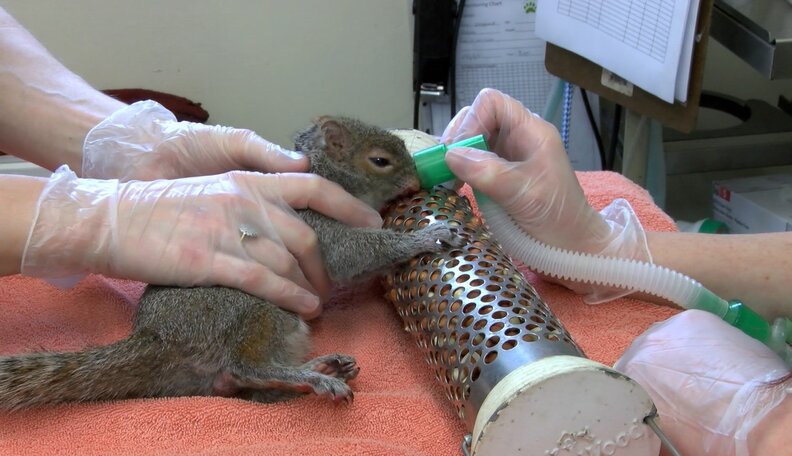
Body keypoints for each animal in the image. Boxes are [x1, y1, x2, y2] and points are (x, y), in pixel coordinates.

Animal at [0, 116, 461, 409]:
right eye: (380, 160)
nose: (416, 181)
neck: (325, 174)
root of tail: (155, 337)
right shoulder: (317, 223)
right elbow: (356, 252)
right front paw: (424, 236)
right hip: (252, 308)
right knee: (246, 368)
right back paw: (313, 377)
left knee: (245, 388)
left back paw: (317, 367)